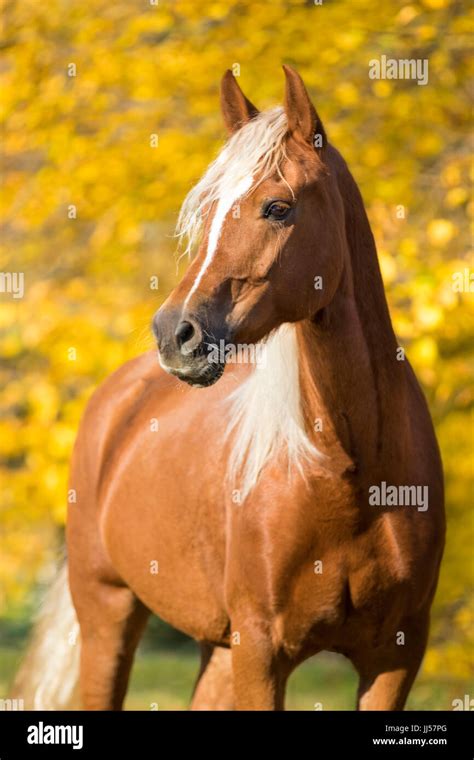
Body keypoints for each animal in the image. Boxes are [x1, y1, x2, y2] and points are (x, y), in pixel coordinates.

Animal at [13, 66, 445, 711]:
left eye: (277, 207)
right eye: (208, 209)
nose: (175, 333)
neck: (351, 474)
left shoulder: (395, 658)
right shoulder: (262, 651)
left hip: (216, 646)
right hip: (109, 616)